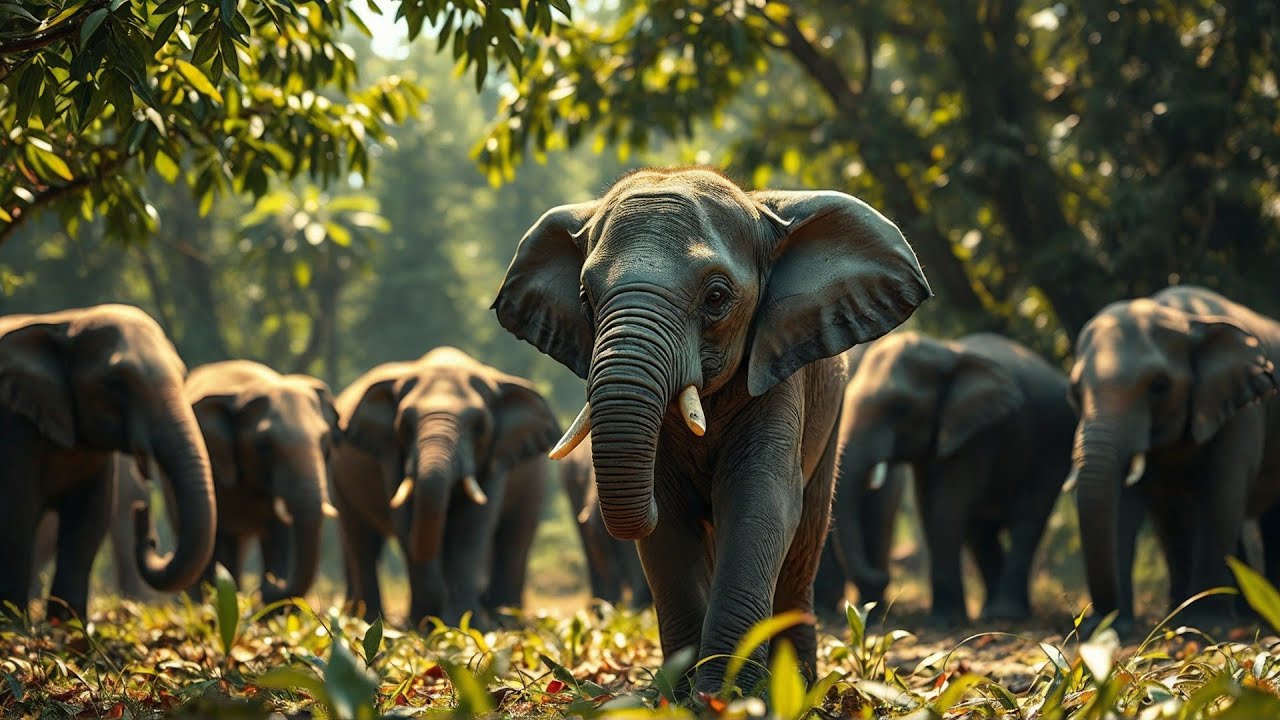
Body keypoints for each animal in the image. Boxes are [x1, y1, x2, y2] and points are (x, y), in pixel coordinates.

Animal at [0, 304, 216, 622]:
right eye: (116, 383)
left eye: (182, 375)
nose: (142, 512)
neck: (66, 321)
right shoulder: (14, 429)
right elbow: (17, 516)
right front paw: (14, 625)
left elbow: (91, 519)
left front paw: (70, 628)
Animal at [332, 347, 561, 628]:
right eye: (405, 424)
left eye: (478, 426)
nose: (432, 617)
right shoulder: (390, 449)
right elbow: (407, 518)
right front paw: (426, 626)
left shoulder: (496, 453)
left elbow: (472, 524)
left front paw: (466, 625)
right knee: (360, 540)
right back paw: (366, 620)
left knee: (514, 539)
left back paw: (506, 622)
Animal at [835, 331, 1075, 626]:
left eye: (901, 409)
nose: (882, 577)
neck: (945, 352)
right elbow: (928, 508)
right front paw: (947, 618)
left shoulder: (974, 435)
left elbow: (945, 509)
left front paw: (944, 621)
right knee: (981, 531)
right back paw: (990, 613)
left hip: (1054, 444)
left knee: (1028, 519)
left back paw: (1004, 615)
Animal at [1069, 285, 1280, 634]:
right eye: (1075, 392)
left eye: (1159, 386)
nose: (1096, 622)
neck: (1183, 318)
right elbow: (1137, 506)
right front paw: (1145, 625)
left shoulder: (1240, 411)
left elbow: (1220, 494)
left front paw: (1207, 625)